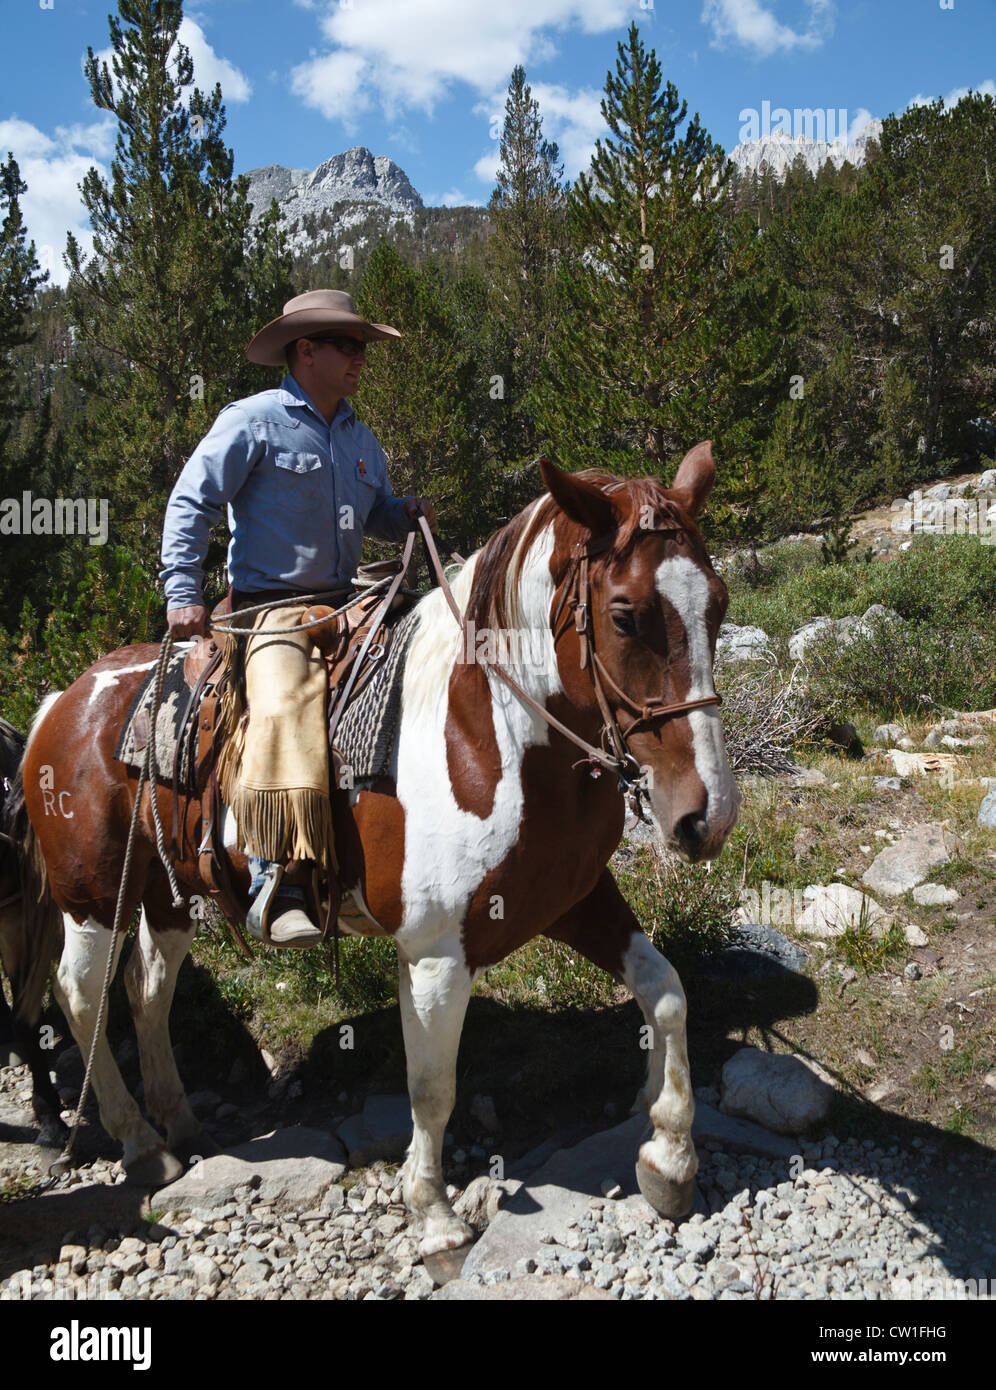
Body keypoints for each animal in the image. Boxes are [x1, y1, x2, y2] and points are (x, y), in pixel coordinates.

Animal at [11, 445, 739, 1271]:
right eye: (624, 614)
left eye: (717, 603)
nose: (707, 816)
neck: (494, 736)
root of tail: (61, 702)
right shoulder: (435, 953)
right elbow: (433, 1085)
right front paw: (435, 1216)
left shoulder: (579, 898)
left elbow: (667, 991)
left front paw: (669, 1158)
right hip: (93, 900)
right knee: (83, 997)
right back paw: (138, 1141)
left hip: (167, 896)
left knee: (146, 989)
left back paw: (179, 1126)